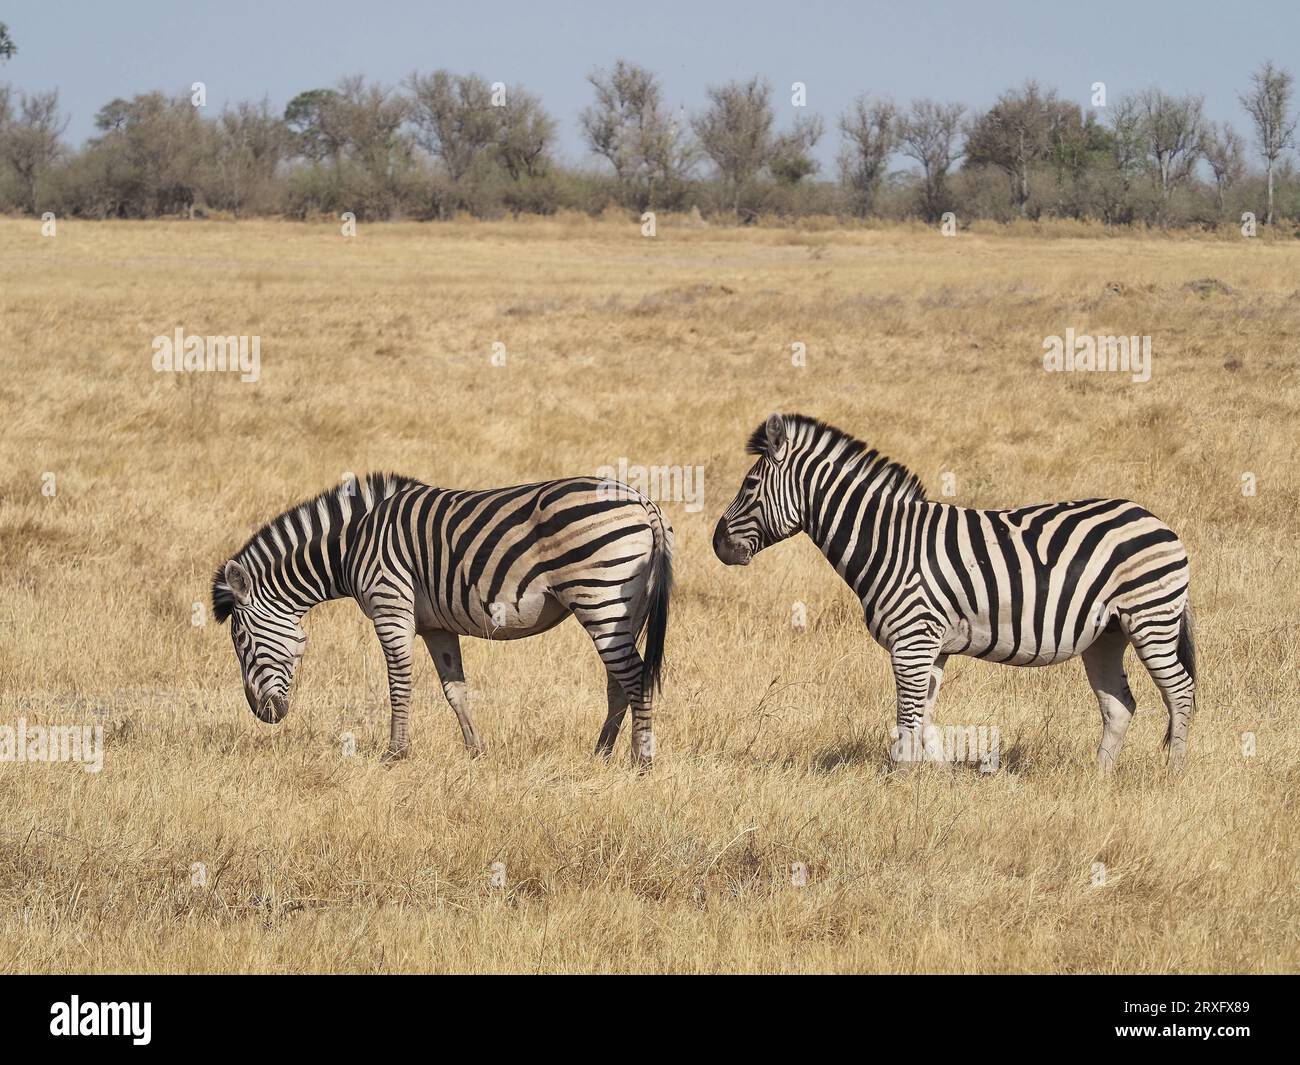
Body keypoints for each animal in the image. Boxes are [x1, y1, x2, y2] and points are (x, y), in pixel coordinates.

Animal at [211, 472, 673, 765]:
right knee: (618, 682)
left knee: (635, 677)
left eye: (241, 640)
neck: (352, 546)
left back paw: (641, 761)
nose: (262, 714)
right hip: (623, 609)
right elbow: (456, 690)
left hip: (600, 597)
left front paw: (395, 754)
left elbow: (399, 683)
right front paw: (475, 752)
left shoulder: (390, 606)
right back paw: (600, 756)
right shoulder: (436, 626)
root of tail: (643, 502)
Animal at [713, 414, 1197, 772]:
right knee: (1119, 706)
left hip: (1151, 618)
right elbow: (925, 719)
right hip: (1106, 635)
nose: (717, 545)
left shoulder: (912, 641)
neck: (888, 542)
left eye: (750, 485)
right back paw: (1099, 780)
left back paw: (1171, 774)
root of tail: (1155, 520)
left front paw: (901, 784)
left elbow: (907, 720)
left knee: (1181, 692)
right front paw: (939, 777)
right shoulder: (932, 647)